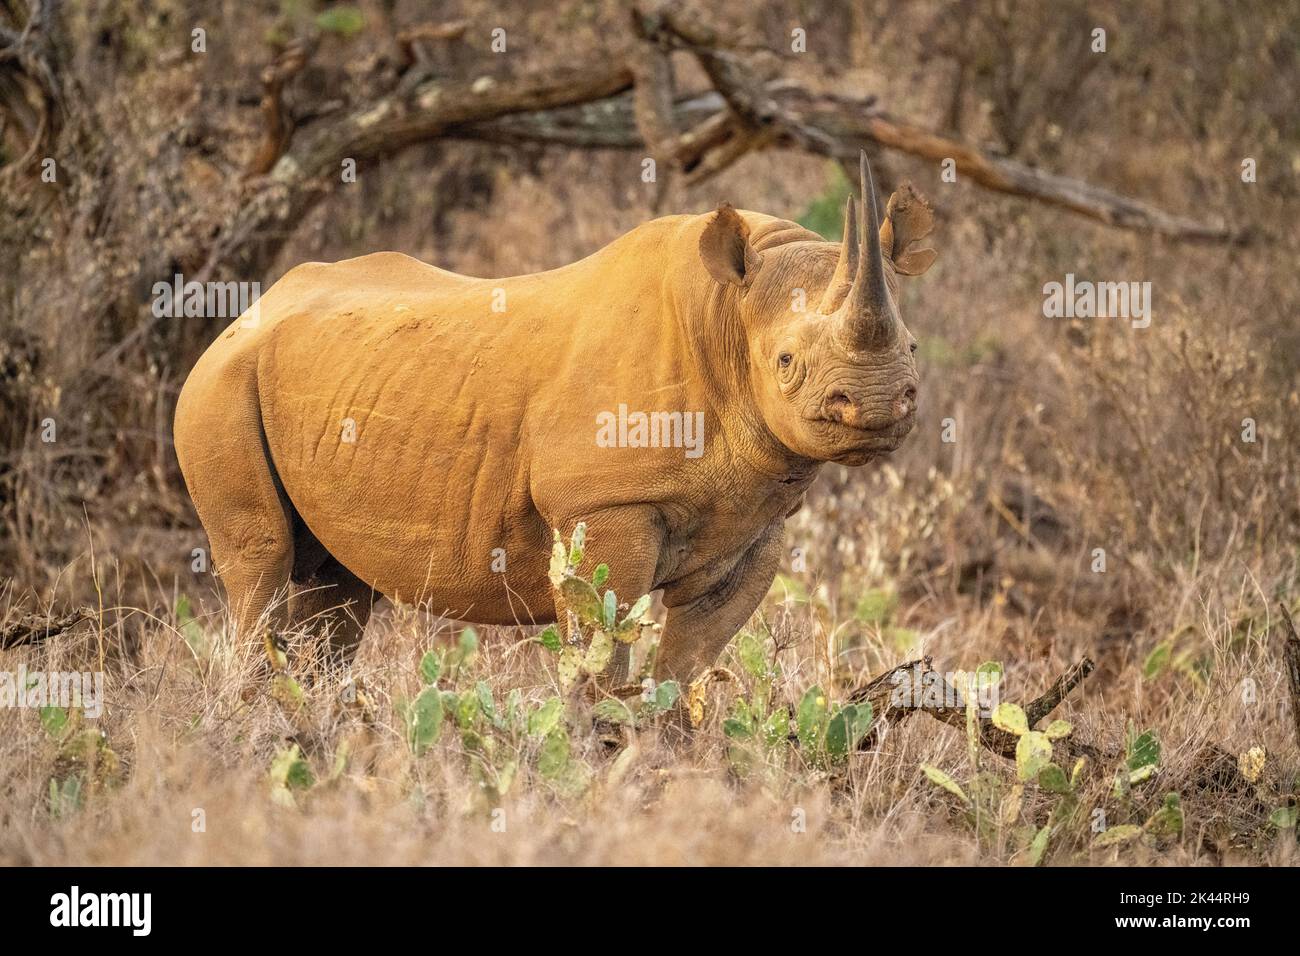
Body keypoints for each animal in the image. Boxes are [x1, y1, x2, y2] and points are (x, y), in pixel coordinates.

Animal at [173, 153, 937, 685]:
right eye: (785, 362)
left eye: (913, 348)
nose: (875, 405)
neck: (729, 314)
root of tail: (249, 309)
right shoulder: (604, 504)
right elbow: (599, 657)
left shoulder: (754, 521)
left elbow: (688, 664)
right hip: (218, 386)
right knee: (260, 564)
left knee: (336, 588)